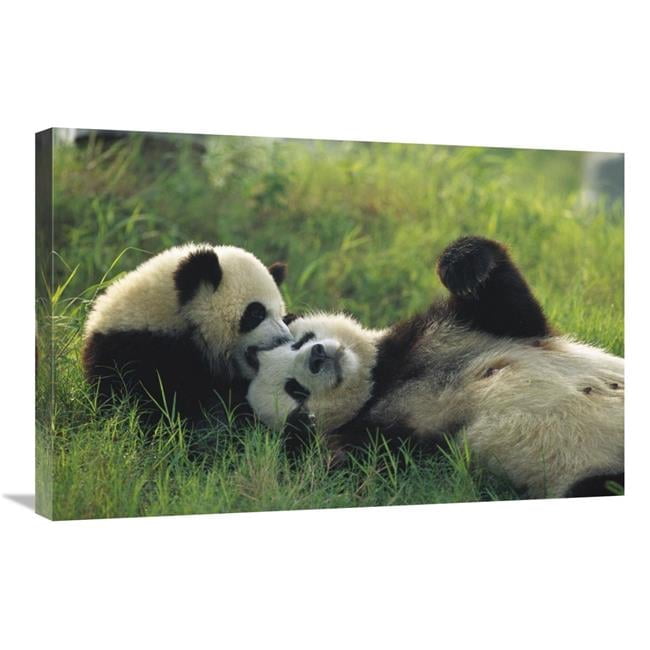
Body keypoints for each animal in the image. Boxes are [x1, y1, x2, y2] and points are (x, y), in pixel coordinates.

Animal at [246, 236, 624, 498]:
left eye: (298, 340)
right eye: (295, 390)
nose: (317, 357)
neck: (379, 380)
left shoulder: (447, 331)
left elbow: (513, 308)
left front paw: (464, 266)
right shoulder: (387, 432)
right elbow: (363, 465)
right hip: (585, 472)